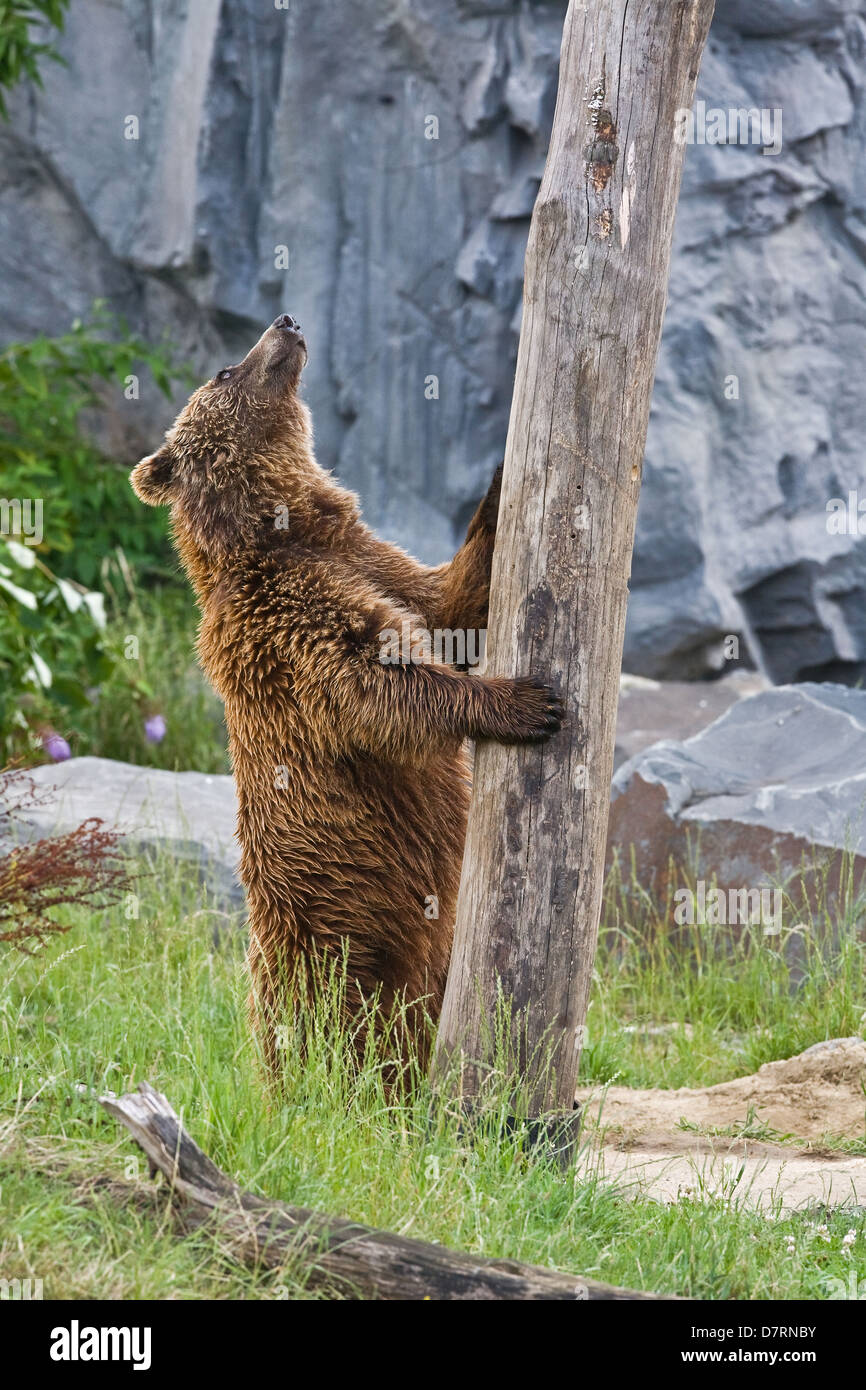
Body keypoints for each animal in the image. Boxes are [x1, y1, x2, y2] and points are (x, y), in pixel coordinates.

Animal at [130, 315, 563, 1073]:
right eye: (224, 370)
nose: (286, 323)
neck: (284, 528)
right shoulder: (283, 622)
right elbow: (376, 684)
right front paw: (526, 704)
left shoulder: (370, 562)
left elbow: (448, 608)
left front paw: (498, 482)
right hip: (336, 929)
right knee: (339, 1029)